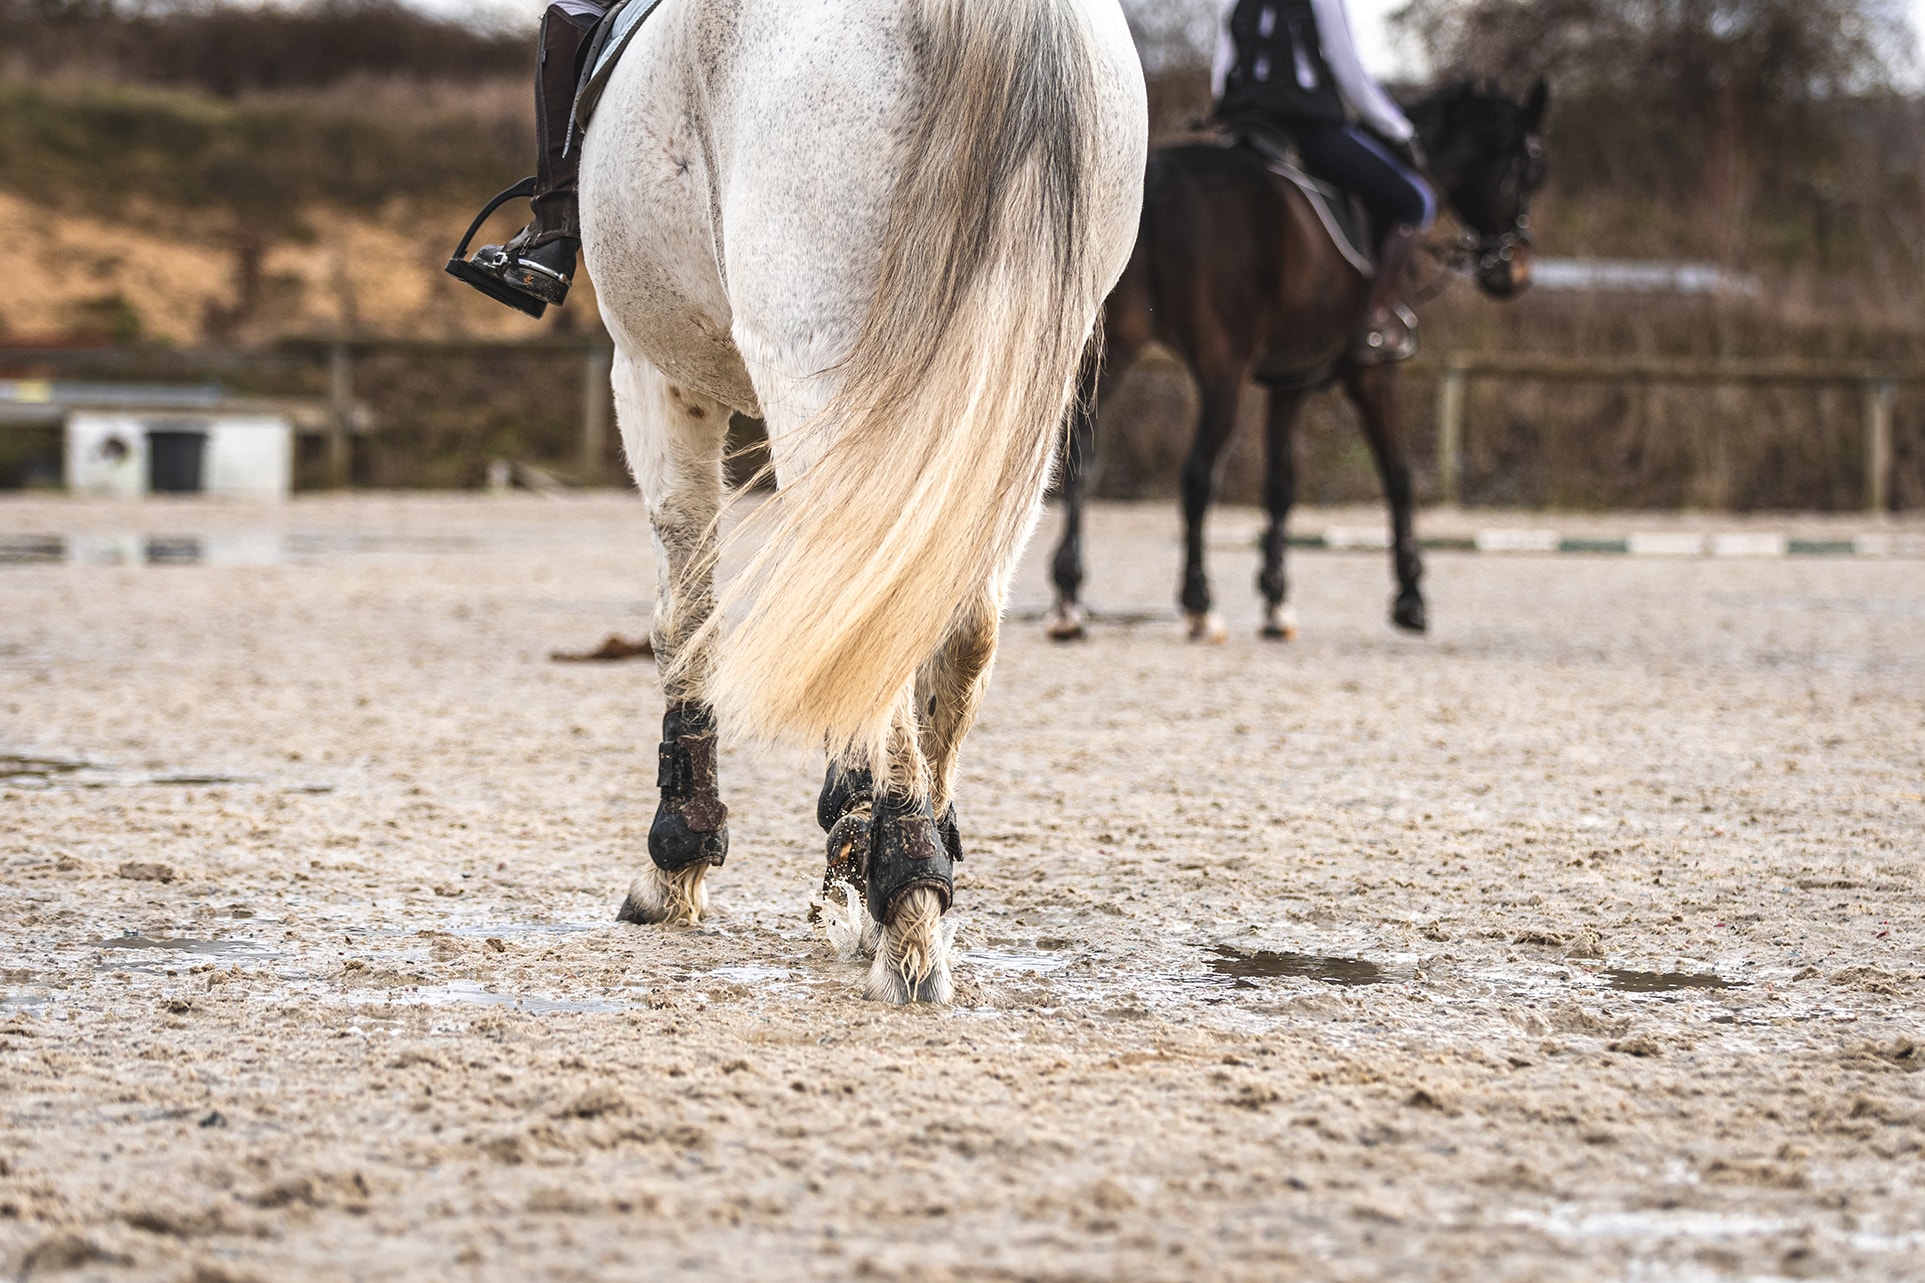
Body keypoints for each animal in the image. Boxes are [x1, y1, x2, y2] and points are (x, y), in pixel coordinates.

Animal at [579, 0, 1147, 1003]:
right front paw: (851, 842)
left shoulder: (651, 373)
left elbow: (686, 614)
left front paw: (677, 856)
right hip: (1018, 400)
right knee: (950, 628)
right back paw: (912, 877)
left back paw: (906, 903)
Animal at [1046, 80, 1549, 643]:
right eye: (1530, 169)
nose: (1514, 271)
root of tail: (1159, 179)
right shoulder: (1372, 374)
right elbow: (1398, 476)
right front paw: (1410, 598)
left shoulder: (1290, 381)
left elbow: (1280, 485)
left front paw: (1276, 600)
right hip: (1223, 370)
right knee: (1197, 474)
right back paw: (1199, 603)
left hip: (1107, 359)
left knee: (1081, 462)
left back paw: (1069, 600)